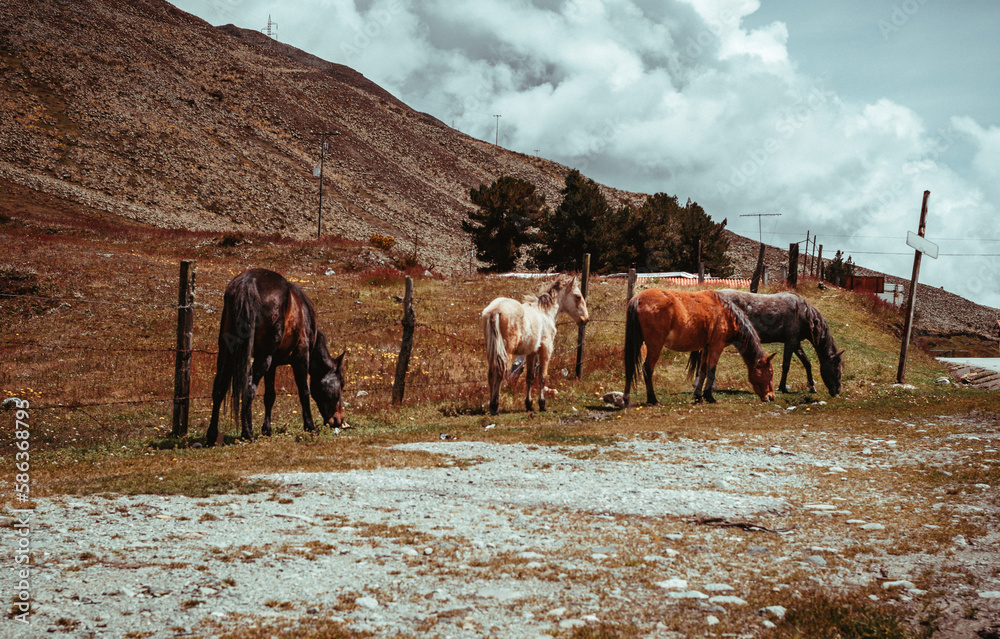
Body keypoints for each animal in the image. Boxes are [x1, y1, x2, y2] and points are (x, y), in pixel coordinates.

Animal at [206, 269, 345, 446]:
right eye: (341, 384)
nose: (339, 420)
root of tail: (248, 282)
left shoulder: (272, 365)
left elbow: (269, 396)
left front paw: (266, 430)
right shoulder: (301, 358)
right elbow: (304, 392)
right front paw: (310, 427)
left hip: (228, 354)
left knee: (219, 388)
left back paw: (212, 435)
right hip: (262, 357)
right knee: (249, 388)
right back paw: (247, 433)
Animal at [482, 275, 589, 415]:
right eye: (578, 297)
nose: (585, 319)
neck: (545, 313)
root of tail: (495, 310)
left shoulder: (531, 352)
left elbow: (530, 377)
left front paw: (529, 405)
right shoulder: (546, 349)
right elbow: (542, 376)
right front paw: (542, 404)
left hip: (492, 351)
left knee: (491, 374)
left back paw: (491, 406)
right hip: (506, 351)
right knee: (499, 374)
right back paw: (495, 406)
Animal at [623, 288, 775, 406]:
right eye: (770, 372)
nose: (771, 397)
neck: (726, 312)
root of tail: (637, 299)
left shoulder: (706, 348)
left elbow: (702, 372)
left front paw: (698, 396)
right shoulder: (716, 346)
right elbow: (711, 371)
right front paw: (709, 397)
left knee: (630, 367)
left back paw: (626, 400)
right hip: (655, 345)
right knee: (647, 369)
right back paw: (653, 400)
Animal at [715, 290, 844, 396]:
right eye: (836, 369)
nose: (837, 391)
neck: (804, 314)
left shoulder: (795, 343)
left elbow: (807, 363)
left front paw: (812, 387)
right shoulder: (790, 342)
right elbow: (786, 365)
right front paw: (782, 388)